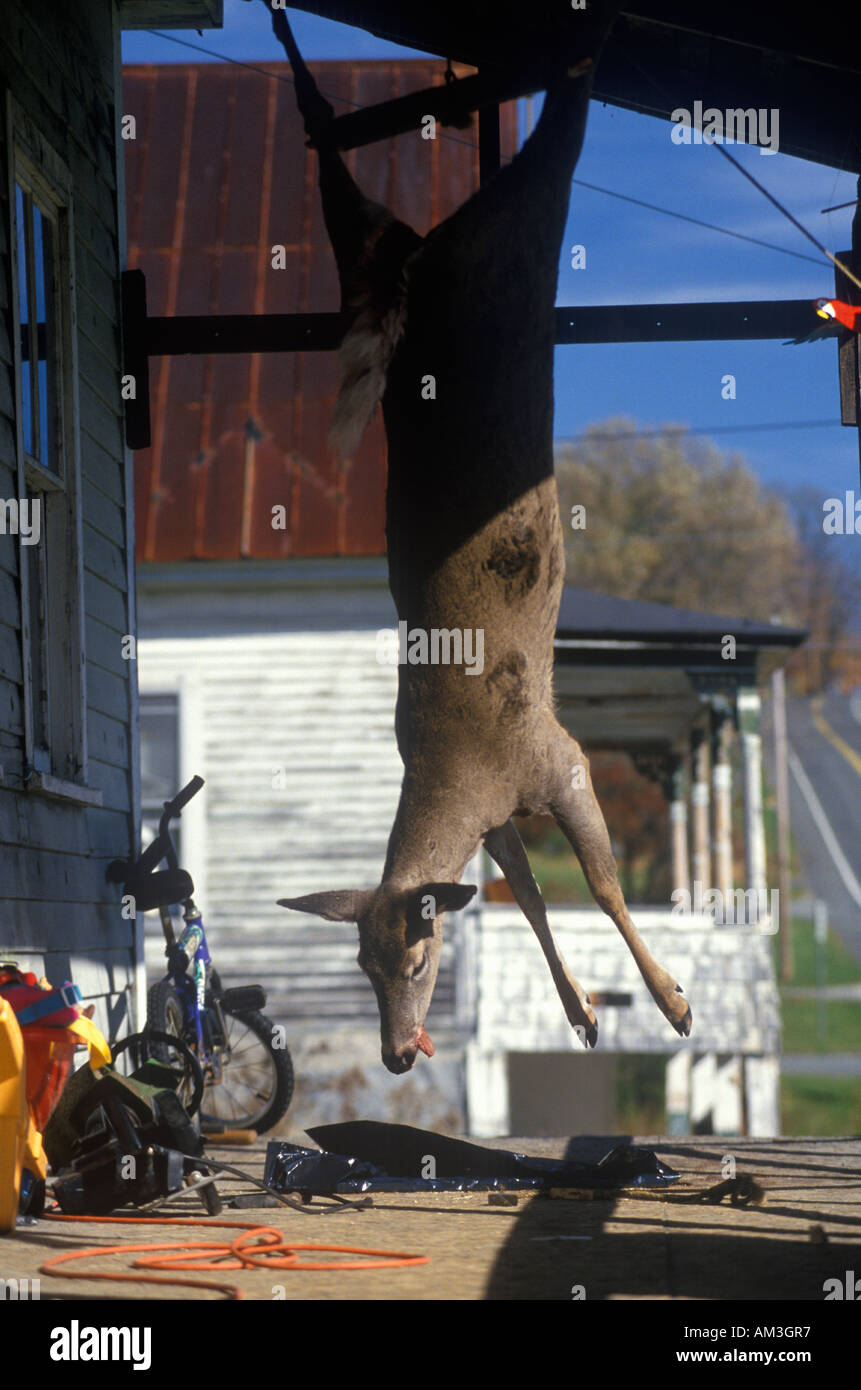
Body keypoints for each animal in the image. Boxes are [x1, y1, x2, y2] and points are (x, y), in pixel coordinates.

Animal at [269, 2, 692, 1072]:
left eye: (415, 961)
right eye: (362, 966)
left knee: (556, 138)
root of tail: (428, 258)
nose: (396, 1053)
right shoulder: (502, 816)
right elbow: (531, 901)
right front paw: (583, 1014)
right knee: (346, 188)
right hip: (383, 246)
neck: (465, 772)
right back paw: (304, 78)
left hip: (508, 235)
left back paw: (586, 42)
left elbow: (602, 884)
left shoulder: (556, 753)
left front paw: (670, 1002)